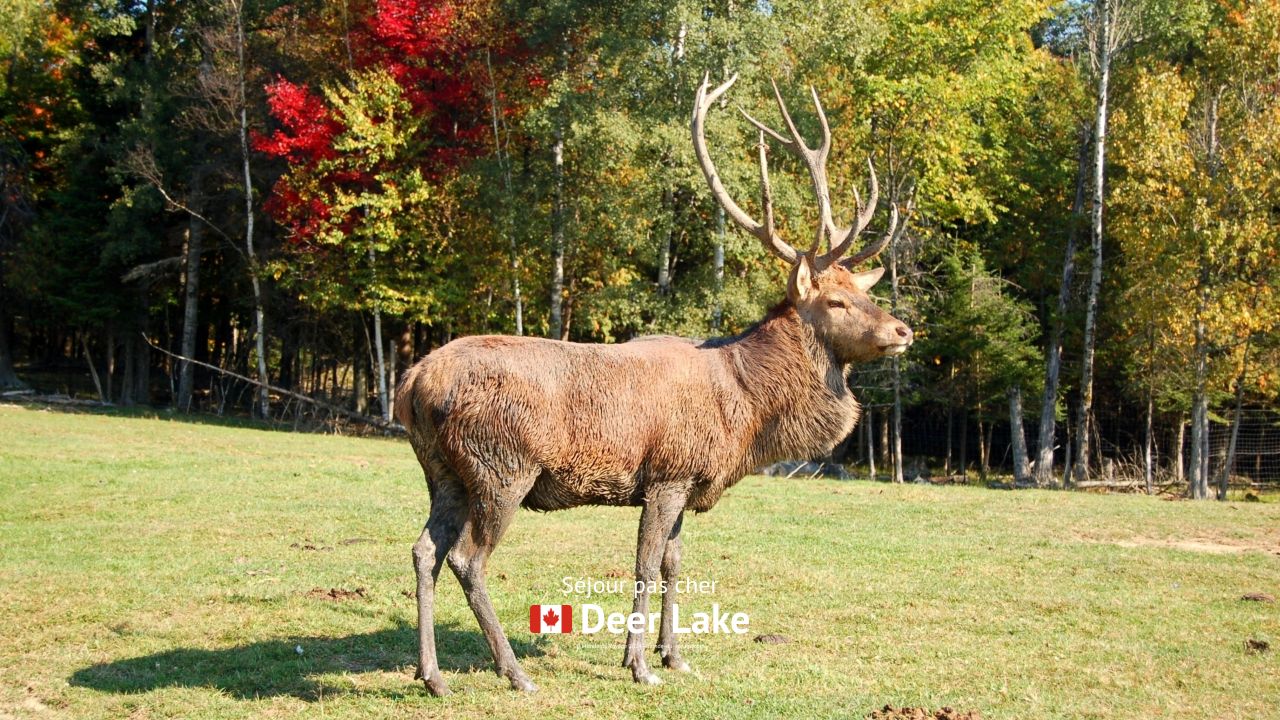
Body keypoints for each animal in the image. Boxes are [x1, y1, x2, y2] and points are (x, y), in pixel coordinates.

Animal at [396, 71, 911, 691]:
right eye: (836, 301)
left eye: (864, 291)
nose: (903, 329)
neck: (745, 407)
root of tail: (411, 384)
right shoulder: (668, 472)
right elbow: (644, 562)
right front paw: (641, 665)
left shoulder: (689, 478)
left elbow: (674, 561)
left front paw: (674, 654)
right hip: (502, 466)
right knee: (466, 556)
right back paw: (514, 671)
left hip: (443, 470)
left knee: (424, 548)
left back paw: (432, 674)